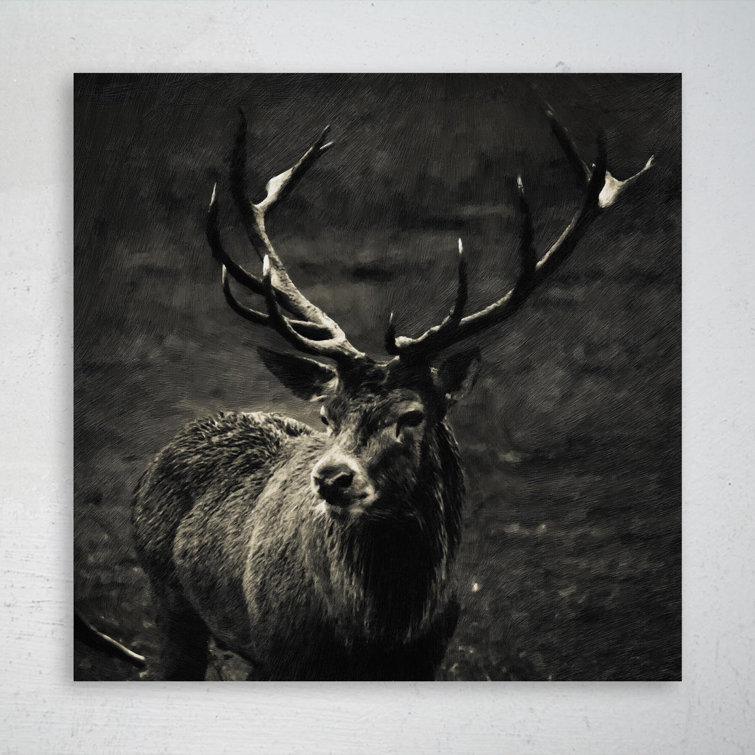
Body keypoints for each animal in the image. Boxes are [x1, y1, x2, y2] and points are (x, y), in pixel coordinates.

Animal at [131, 106, 653, 681]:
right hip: (170, 600)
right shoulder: (284, 651)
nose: (331, 479)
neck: (380, 634)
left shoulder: (429, 656)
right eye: (327, 415)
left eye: (412, 415)